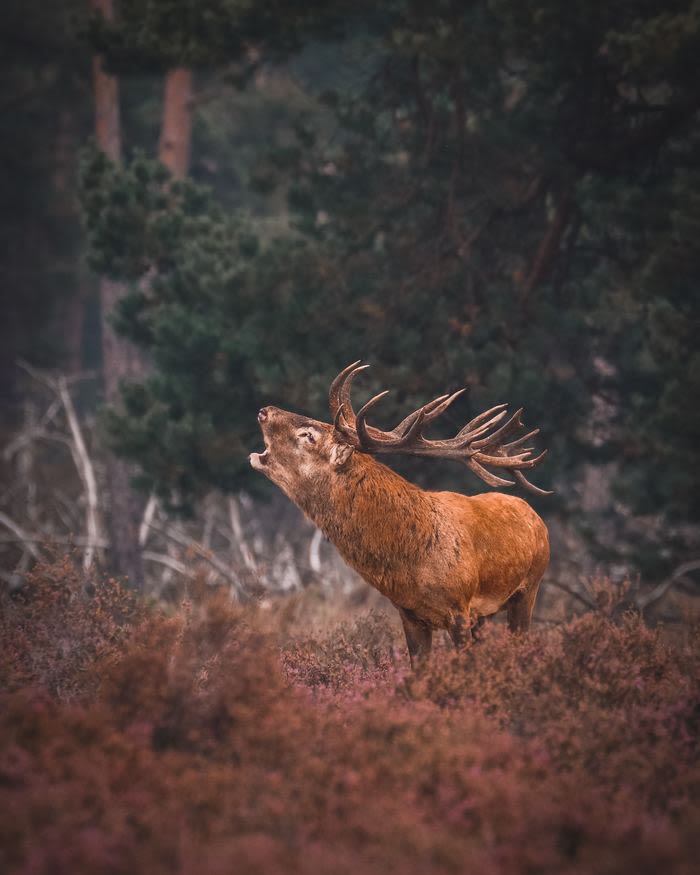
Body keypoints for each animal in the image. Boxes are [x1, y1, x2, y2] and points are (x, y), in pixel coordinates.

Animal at [250, 362, 551, 667]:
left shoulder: (460, 608)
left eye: (309, 435)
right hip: (486, 615)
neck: (412, 562)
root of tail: (534, 514)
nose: (264, 410)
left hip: (529, 588)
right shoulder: (410, 615)